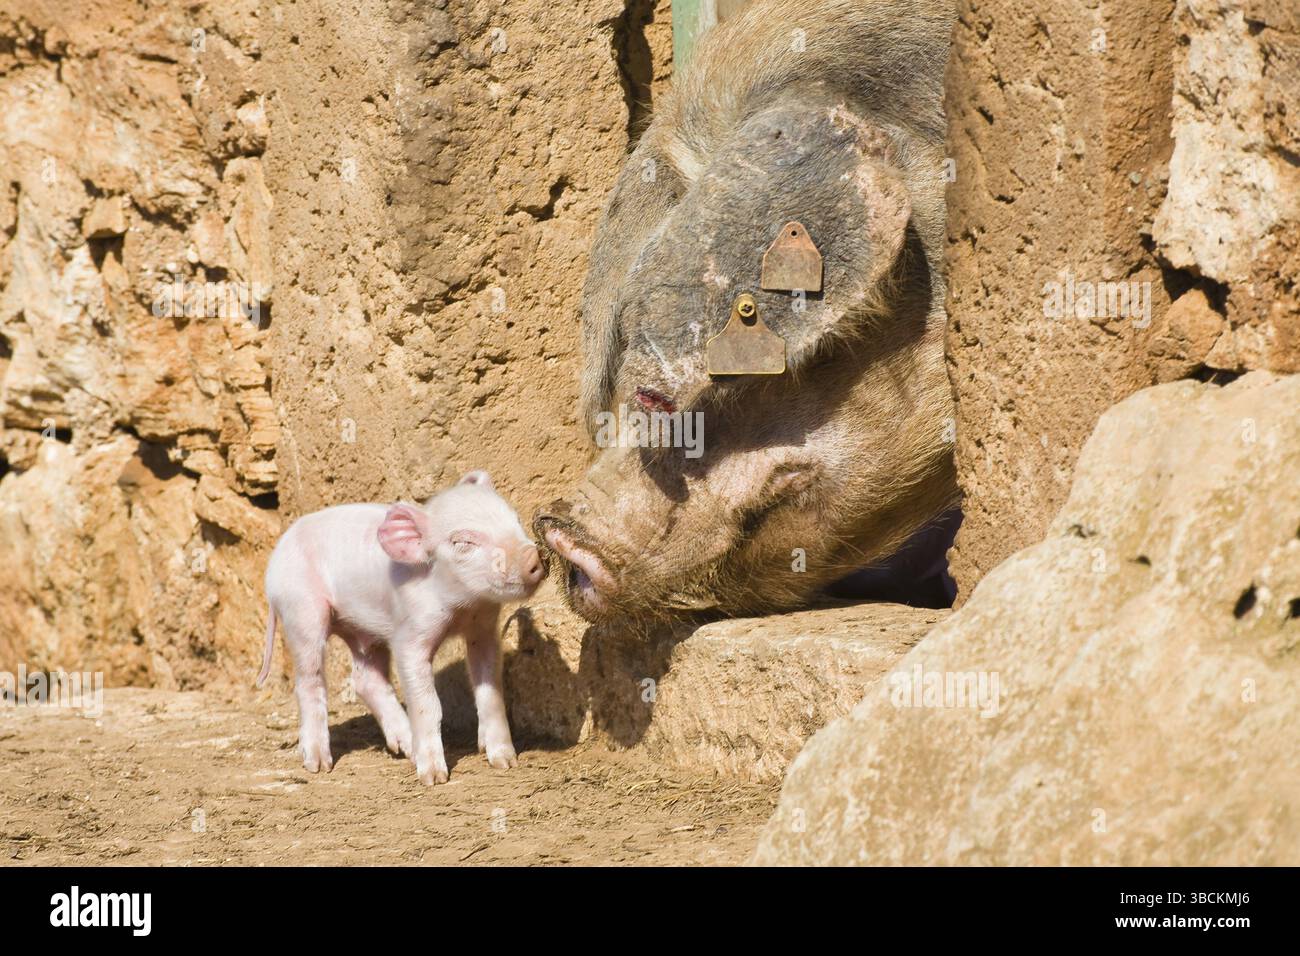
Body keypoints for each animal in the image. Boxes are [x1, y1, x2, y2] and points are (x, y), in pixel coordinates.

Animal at [257, 471, 545, 785]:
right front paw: (433, 778)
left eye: (515, 519)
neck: (462, 609)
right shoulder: (410, 634)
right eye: (463, 541)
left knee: (365, 680)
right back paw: (319, 765)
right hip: (302, 610)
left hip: (364, 632)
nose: (534, 557)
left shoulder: (483, 629)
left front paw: (505, 762)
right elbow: (427, 703)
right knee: (310, 680)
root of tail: (273, 565)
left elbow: (490, 692)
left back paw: (406, 748)